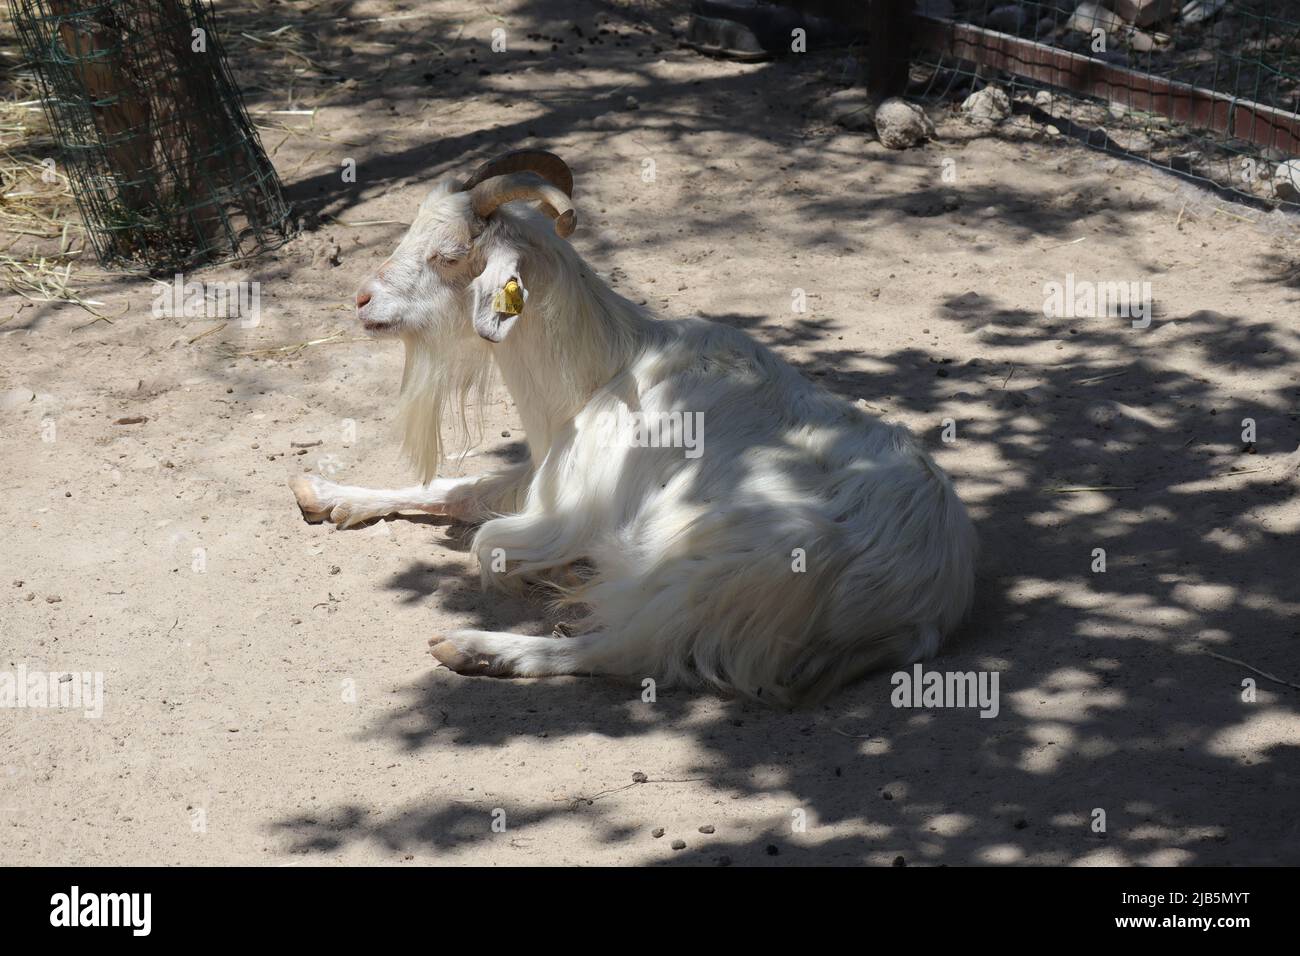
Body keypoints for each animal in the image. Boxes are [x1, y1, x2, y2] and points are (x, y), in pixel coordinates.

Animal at [290, 149, 977, 705]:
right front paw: (326, 494)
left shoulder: (569, 509)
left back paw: (479, 647)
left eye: (451, 255)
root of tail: (927, 591)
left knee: (631, 648)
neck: (605, 370)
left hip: (706, 566)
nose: (362, 300)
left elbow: (488, 539)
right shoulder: (546, 471)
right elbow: (457, 490)